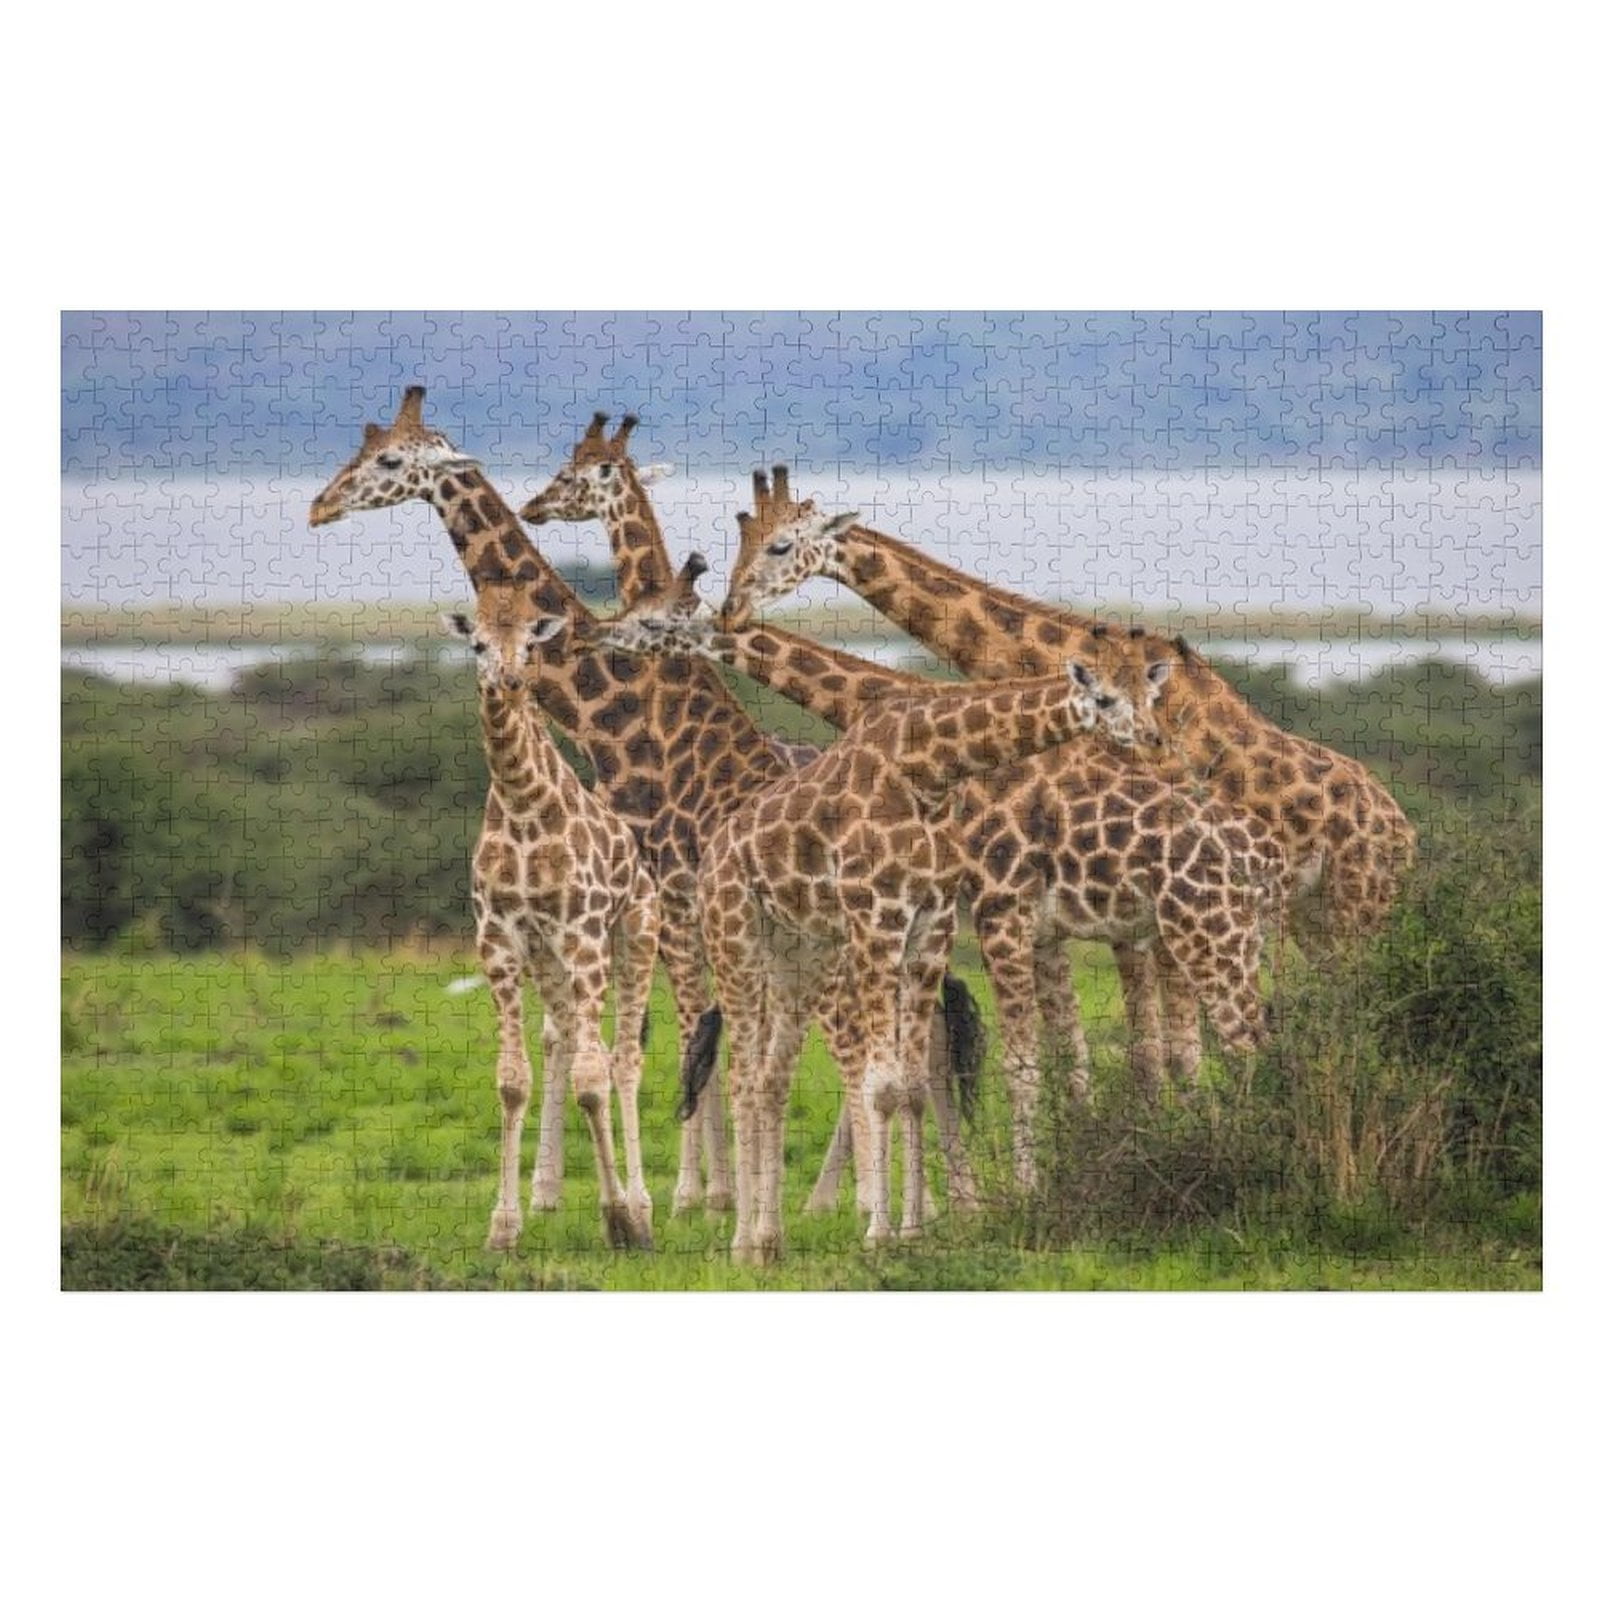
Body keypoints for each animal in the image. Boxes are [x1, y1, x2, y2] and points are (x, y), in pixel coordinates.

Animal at [441, 586, 660, 1249]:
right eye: (477, 643)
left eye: (531, 644)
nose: (509, 682)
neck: (521, 804)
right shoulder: (500, 939)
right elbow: (513, 1080)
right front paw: (503, 1226)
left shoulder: (583, 935)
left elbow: (594, 1079)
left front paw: (623, 1219)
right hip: (550, 961)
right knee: (567, 1040)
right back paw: (556, 1192)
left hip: (634, 936)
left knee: (622, 1059)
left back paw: (643, 1207)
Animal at [592, 556, 1282, 1195]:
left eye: (653, 617)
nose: (602, 634)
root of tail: (1262, 851)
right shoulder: (1029, 929)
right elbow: (1059, 1054)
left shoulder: (995, 913)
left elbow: (1011, 1062)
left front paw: (1017, 1191)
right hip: (1211, 936)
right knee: (1221, 1040)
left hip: (1201, 933)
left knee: (1239, 1040)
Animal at [719, 468, 1417, 1067]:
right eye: (740, 541)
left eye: (780, 545)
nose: (730, 608)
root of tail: (1406, 833)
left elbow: (1159, 1042)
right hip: (1315, 918)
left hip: (1354, 906)